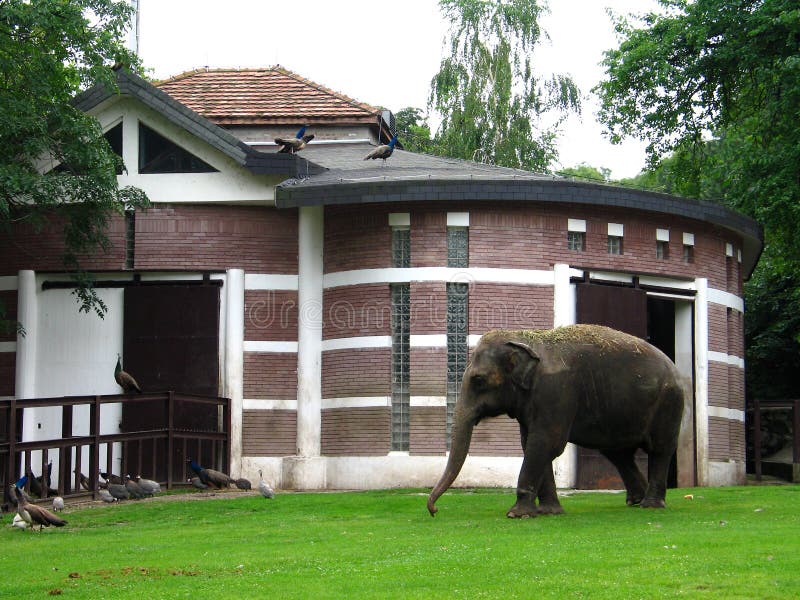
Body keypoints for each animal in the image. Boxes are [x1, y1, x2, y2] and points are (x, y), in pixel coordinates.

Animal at [427, 324, 684, 519]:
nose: (434, 510)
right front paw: (549, 512)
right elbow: (531, 444)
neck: (527, 339)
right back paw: (635, 501)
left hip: (669, 403)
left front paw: (517, 514)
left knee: (659, 449)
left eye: (478, 380)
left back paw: (650, 505)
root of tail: (675, 368)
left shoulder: (557, 391)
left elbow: (545, 443)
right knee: (618, 453)